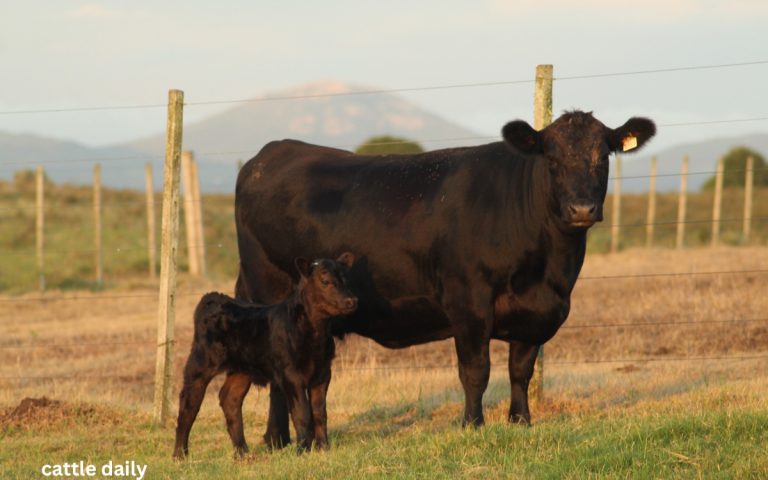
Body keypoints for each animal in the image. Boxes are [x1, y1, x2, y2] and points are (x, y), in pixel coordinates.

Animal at [173, 254, 357, 458]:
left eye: (346, 279)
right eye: (325, 281)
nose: (351, 300)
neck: (315, 334)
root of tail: (214, 297)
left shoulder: (323, 372)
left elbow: (319, 413)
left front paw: (323, 448)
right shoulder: (291, 375)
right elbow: (302, 413)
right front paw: (302, 450)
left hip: (242, 369)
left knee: (230, 398)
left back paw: (242, 453)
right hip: (201, 363)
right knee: (189, 404)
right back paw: (180, 454)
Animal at [233, 110, 656, 447]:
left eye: (603, 157)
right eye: (551, 159)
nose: (582, 209)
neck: (547, 270)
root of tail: (269, 154)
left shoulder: (535, 312)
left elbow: (520, 369)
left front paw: (521, 421)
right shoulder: (468, 302)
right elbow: (475, 371)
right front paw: (472, 424)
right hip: (270, 296)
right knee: (277, 373)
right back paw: (275, 439)